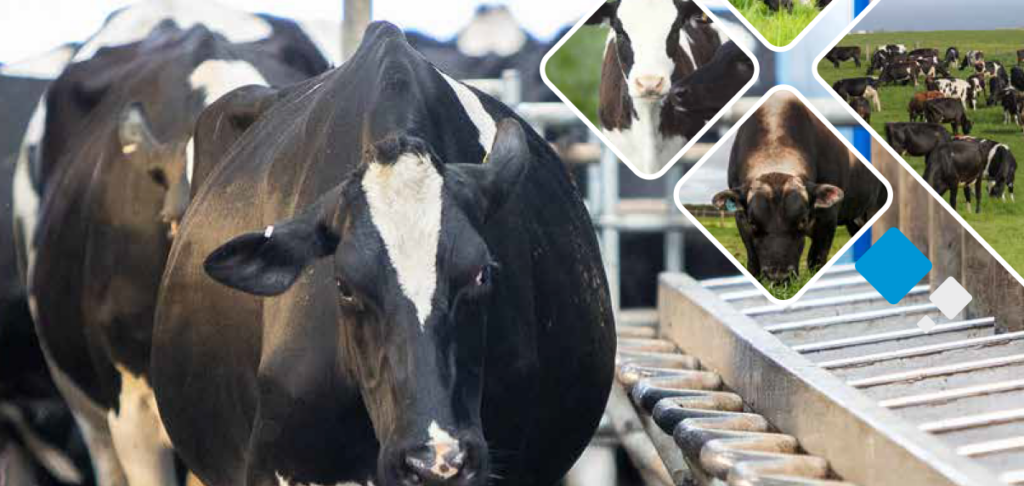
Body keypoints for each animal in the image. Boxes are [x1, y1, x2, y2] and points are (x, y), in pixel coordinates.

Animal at [711, 90, 886, 283]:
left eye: (802, 220)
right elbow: (752, 260)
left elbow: (816, 259)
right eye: (753, 222)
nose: (778, 278)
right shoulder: (741, 218)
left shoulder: (828, 217)